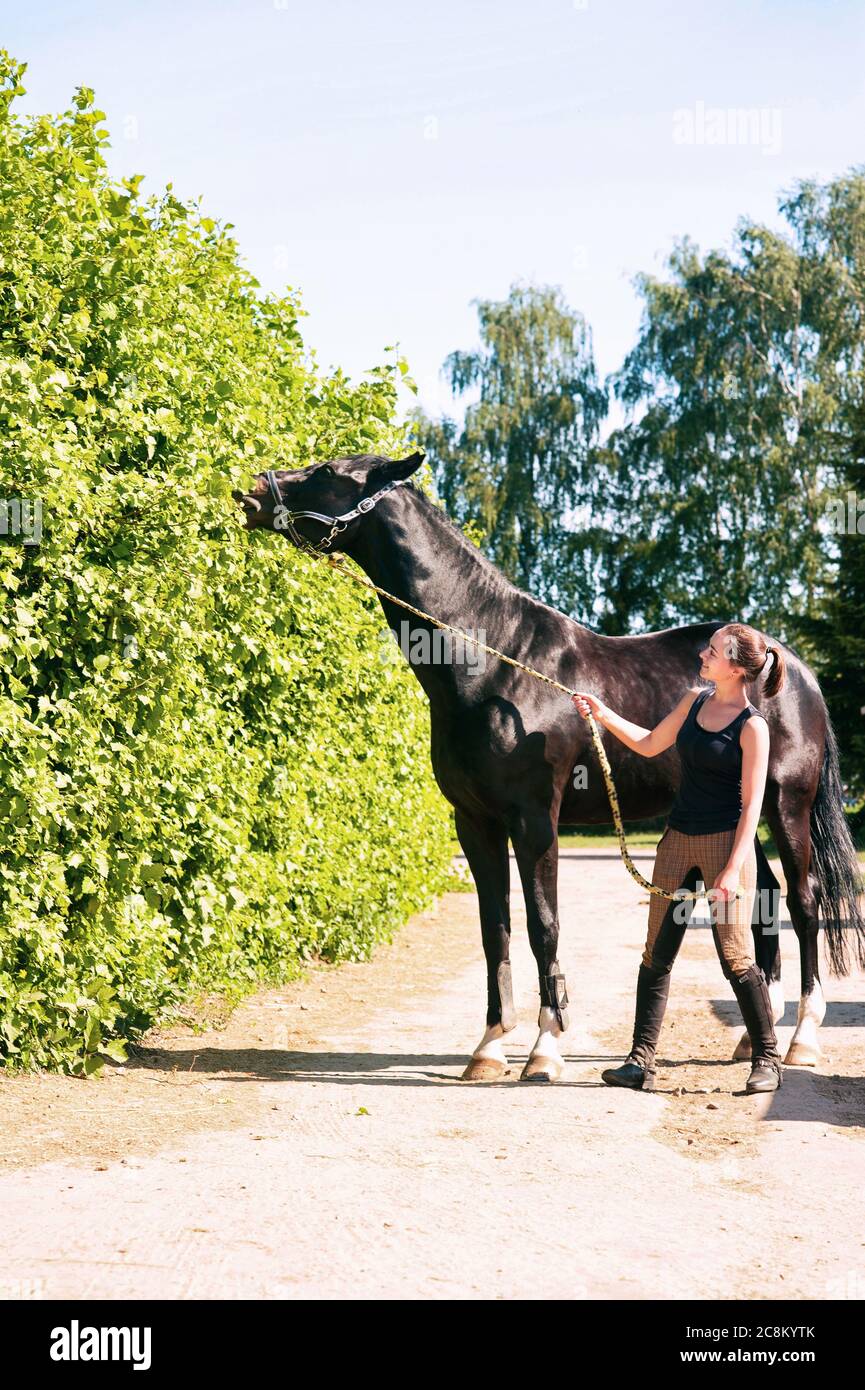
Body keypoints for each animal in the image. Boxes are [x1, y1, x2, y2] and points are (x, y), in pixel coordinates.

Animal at [234, 451, 865, 1082]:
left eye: (328, 472)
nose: (250, 494)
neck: (492, 664)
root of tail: (793, 668)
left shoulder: (535, 819)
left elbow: (544, 925)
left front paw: (544, 1048)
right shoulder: (475, 822)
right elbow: (495, 929)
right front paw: (489, 1047)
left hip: (786, 803)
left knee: (804, 901)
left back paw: (801, 1040)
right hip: (738, 816)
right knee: (763, 899)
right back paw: (750, 1043)